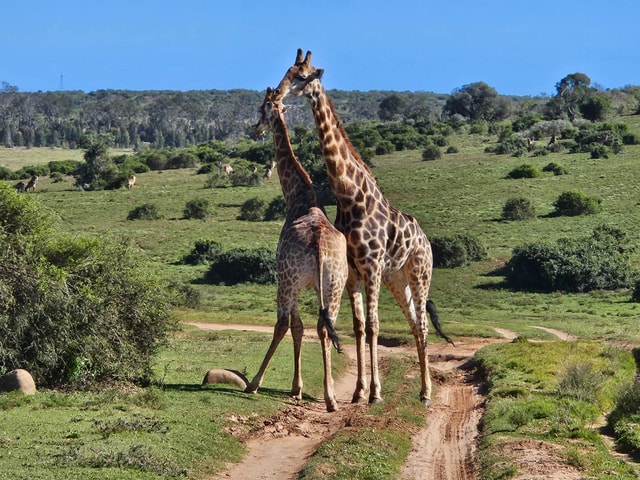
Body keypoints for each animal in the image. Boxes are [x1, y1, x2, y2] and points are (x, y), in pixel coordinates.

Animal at [245, 87, 348, 412]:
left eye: (262, 109)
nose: (256, 129)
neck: (298, 197)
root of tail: (317, 244)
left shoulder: (288, 279)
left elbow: (291, 325)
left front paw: (293, 387)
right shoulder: (312, 286)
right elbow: (303, 327)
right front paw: (299, 388)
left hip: (287, 281)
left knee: (281, 324)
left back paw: (253, 383)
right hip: (334, 285)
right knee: (326, 327)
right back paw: (330, 398)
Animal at [275, 50, 454, 407]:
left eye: (301, 77)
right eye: (286, 72)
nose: (278, 94)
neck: (350, 197)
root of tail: (426, 240)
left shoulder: (370, 267)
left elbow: (373, 325)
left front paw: (375, 393)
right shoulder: (354, 273)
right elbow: (358, 326)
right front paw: (358, 391)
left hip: (419, 272)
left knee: (423, 324)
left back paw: (427, 392)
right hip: (396, 278)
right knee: (414, 323)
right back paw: (421, 390)